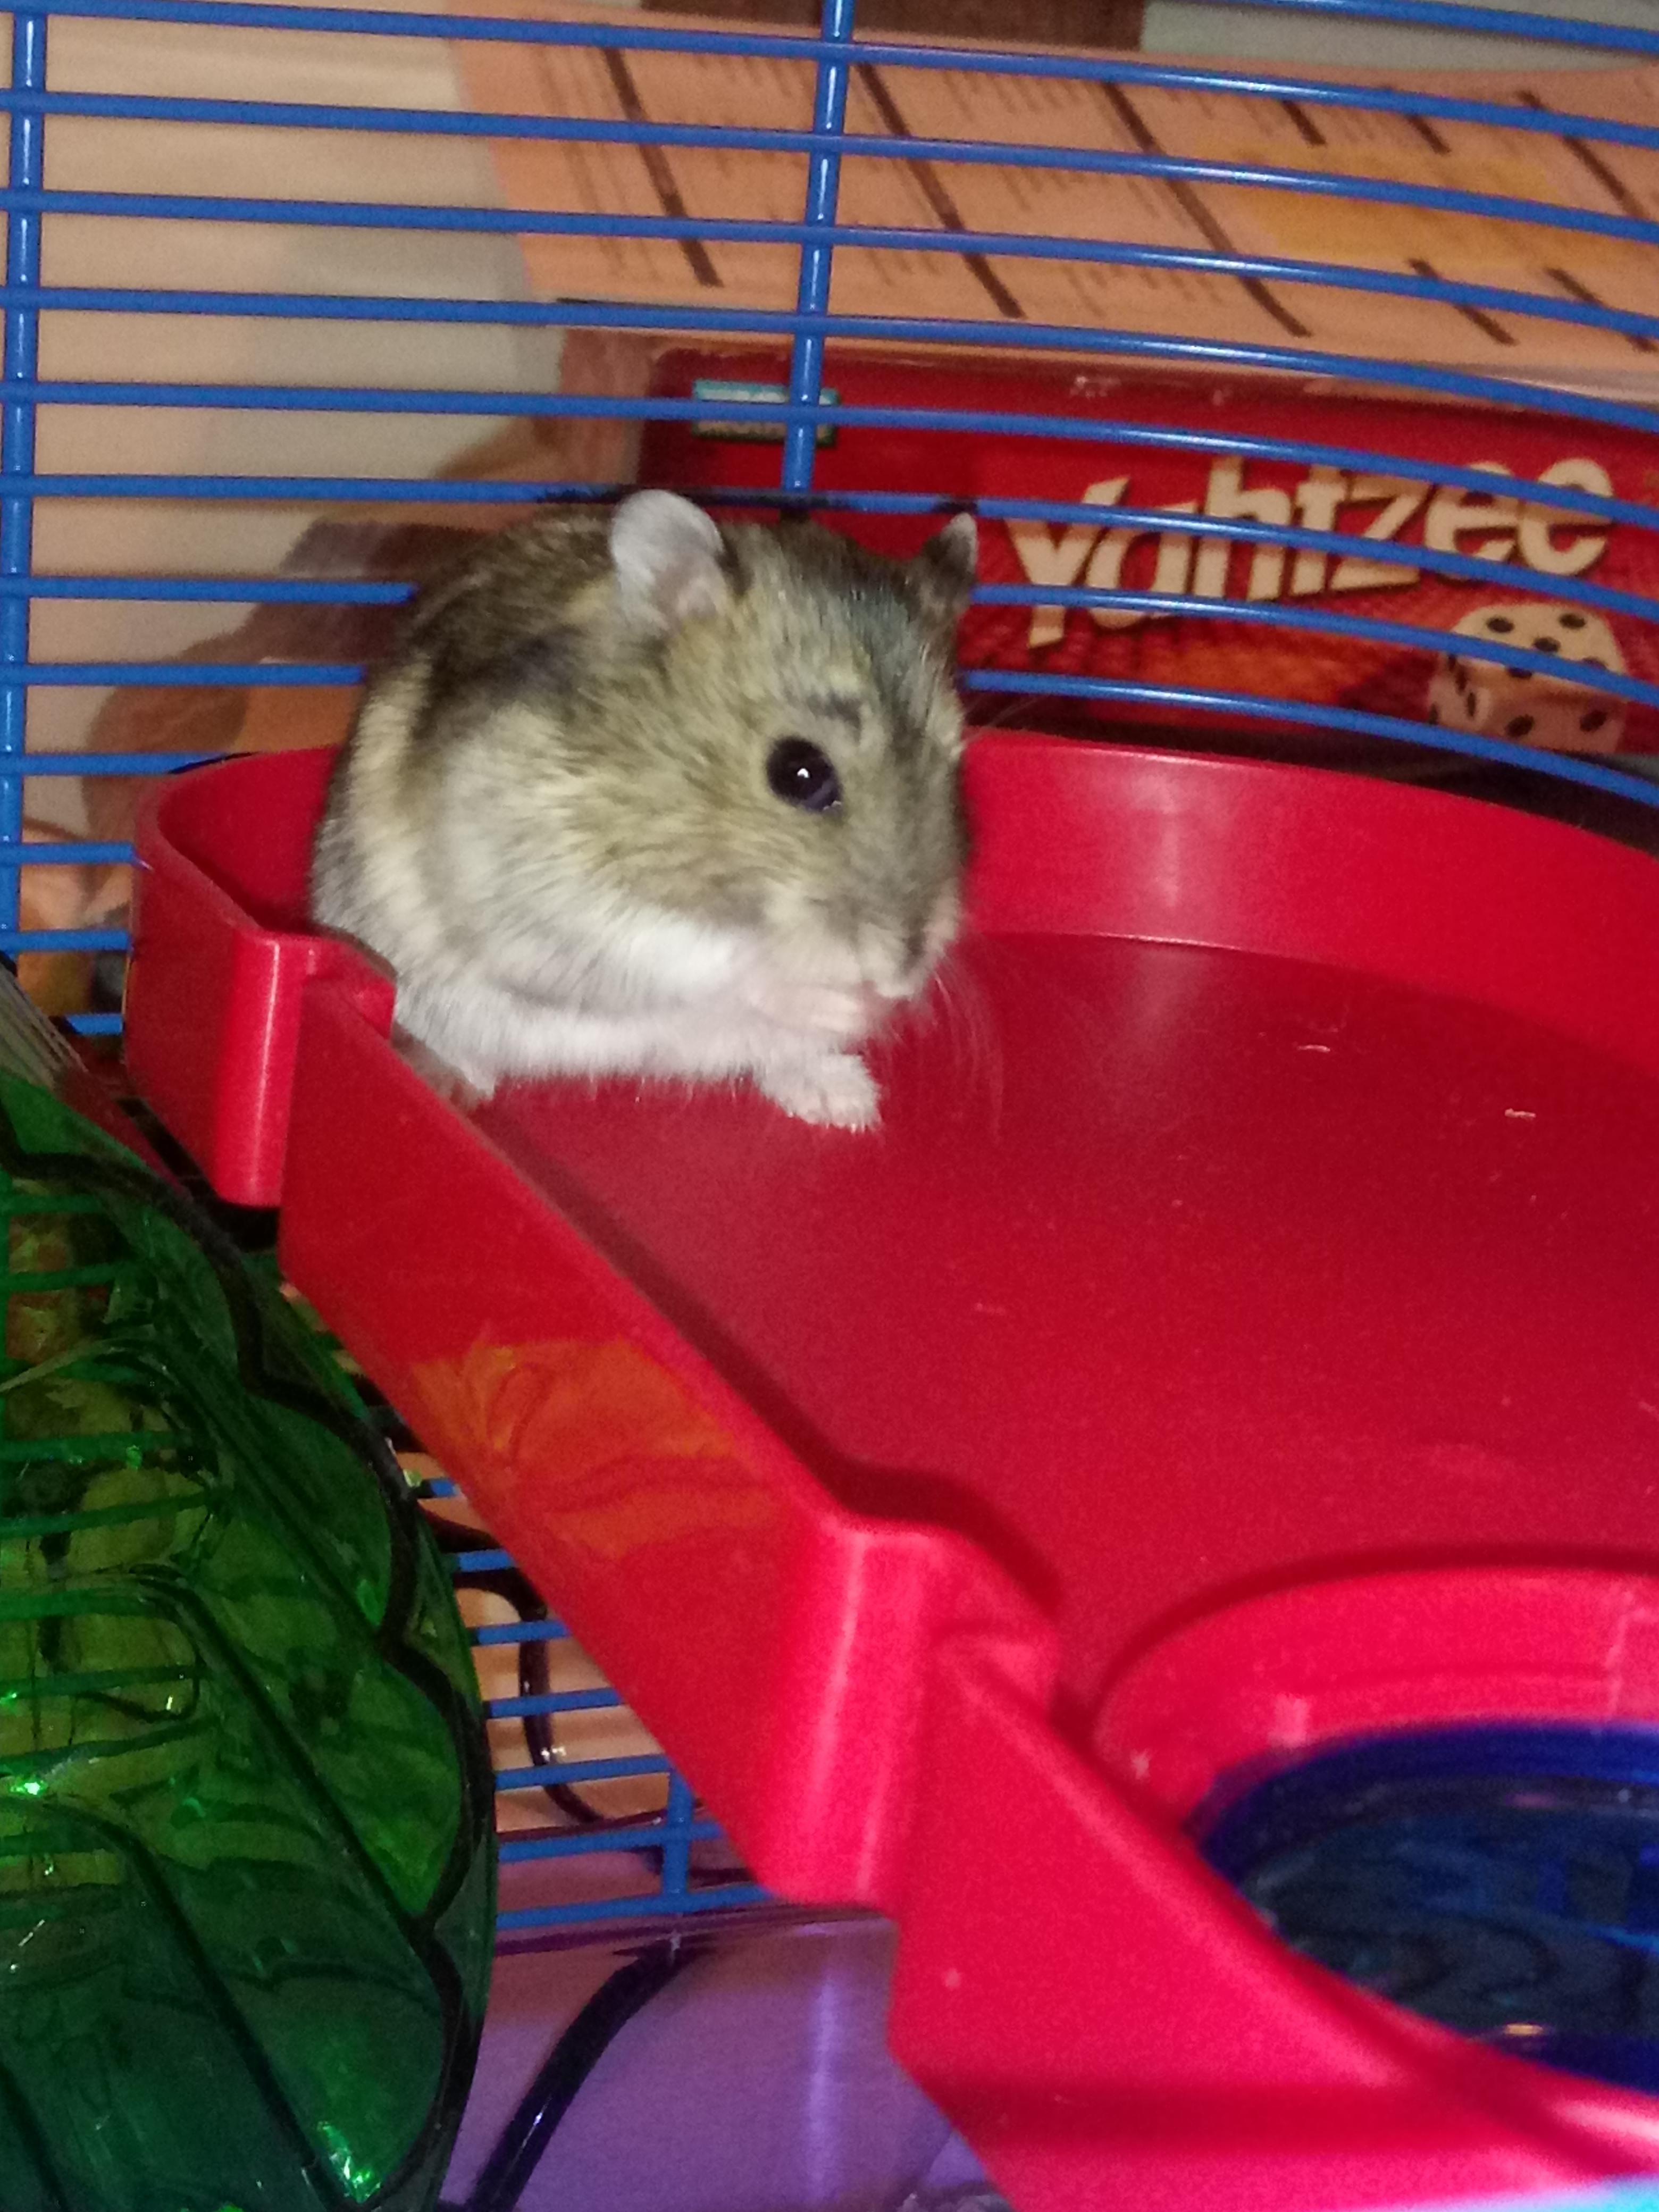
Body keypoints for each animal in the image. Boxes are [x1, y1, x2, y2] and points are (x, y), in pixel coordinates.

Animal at [310, 490, 977, 1130]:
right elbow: (721, 966)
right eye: (800, 772)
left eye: (956, 764)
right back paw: (447, 1081)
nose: (899, 977)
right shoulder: (562, 897)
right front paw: (851, 1002)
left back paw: (848, 1102)